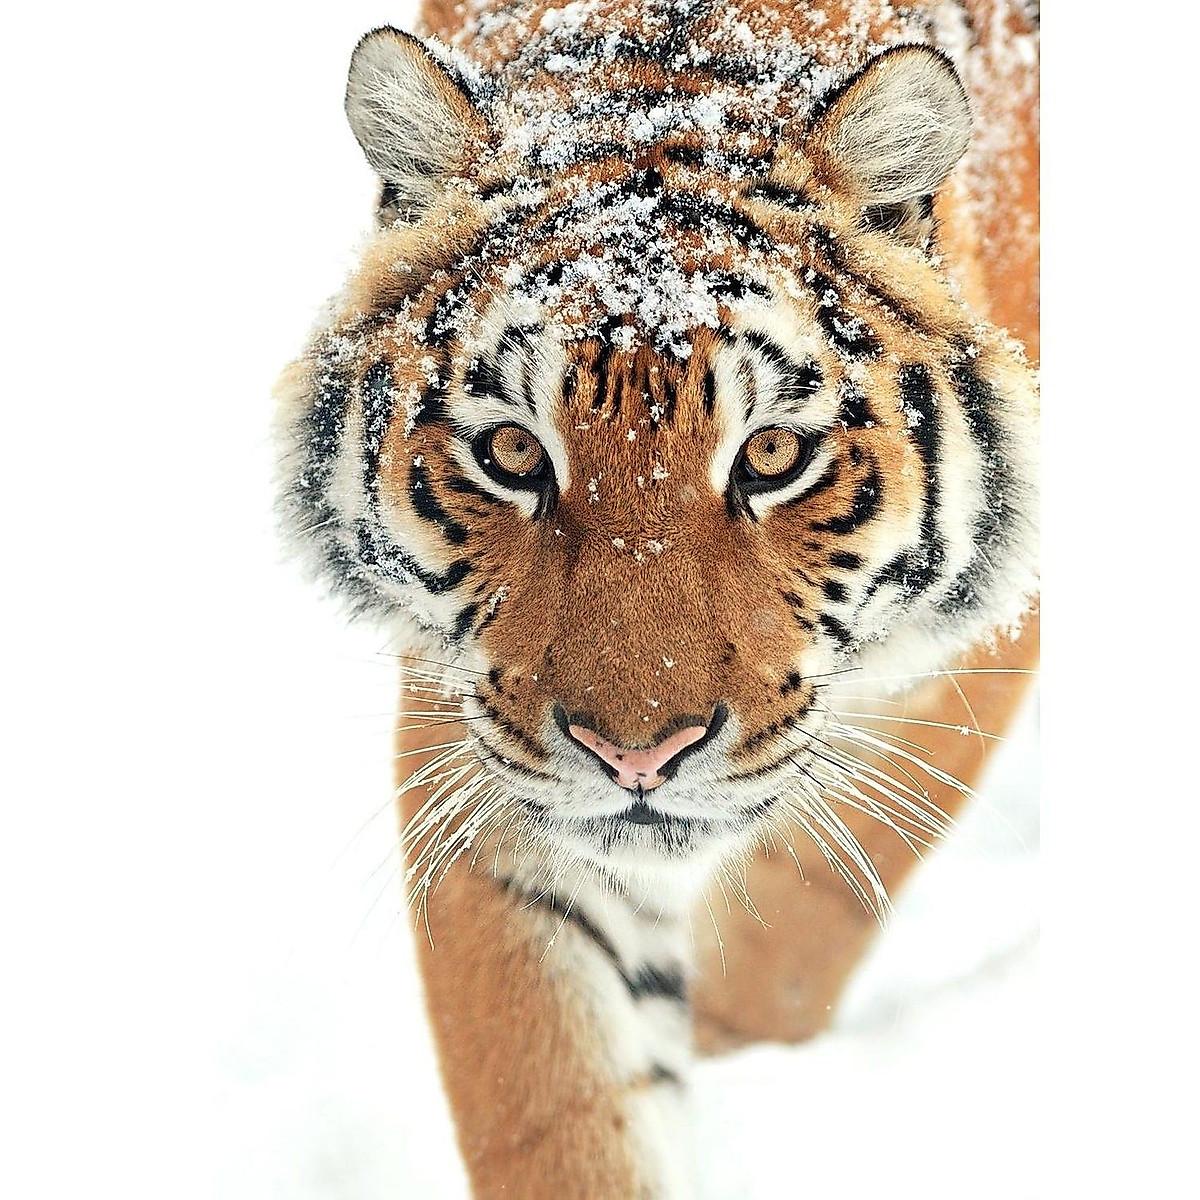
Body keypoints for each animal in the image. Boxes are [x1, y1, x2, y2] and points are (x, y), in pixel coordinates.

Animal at [275, 0, 1039, 1194]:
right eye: (511, 453)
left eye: (770, 454)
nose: (638, 758)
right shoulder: (486, 738)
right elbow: (557, 1088)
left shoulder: (973, 653)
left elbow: (810, 904)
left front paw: (737, 1061)